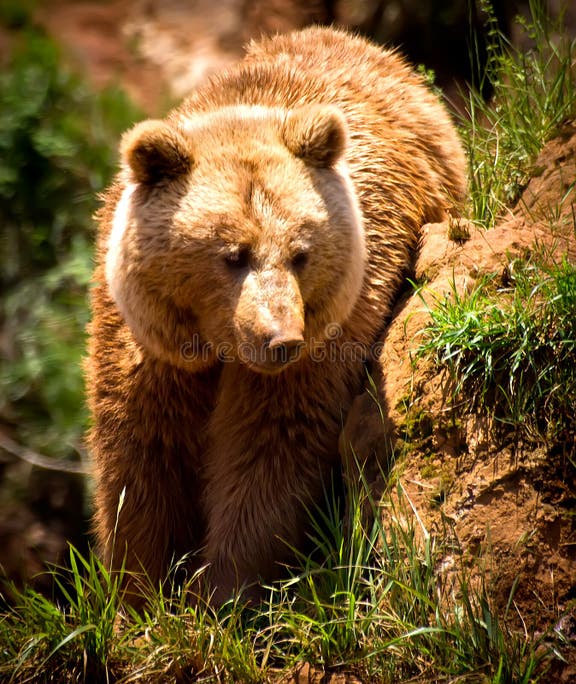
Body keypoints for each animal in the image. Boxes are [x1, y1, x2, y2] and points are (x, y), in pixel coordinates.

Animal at [87, 26, 466, 604]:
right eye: (232, 254)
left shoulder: (331, 326)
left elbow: (272, 447)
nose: (280, 339)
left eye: (300, 253)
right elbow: (143, 456)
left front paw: (222, 592)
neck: (219, 349)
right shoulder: (148, 346)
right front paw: (141, 591)